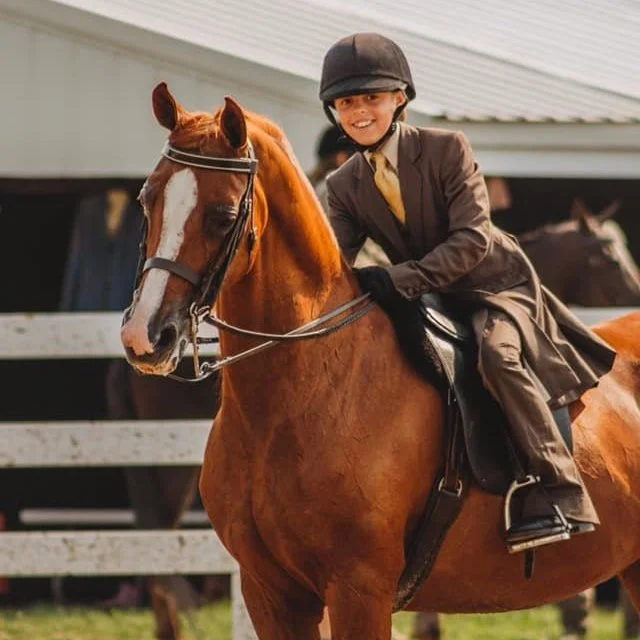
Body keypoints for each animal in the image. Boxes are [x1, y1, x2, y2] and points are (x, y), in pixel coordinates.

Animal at [121, 83, 640, 640]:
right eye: (147, 200)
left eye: (221, 215)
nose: (145, 336)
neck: (299, 396)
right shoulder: (270, 593)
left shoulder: (358, 588)